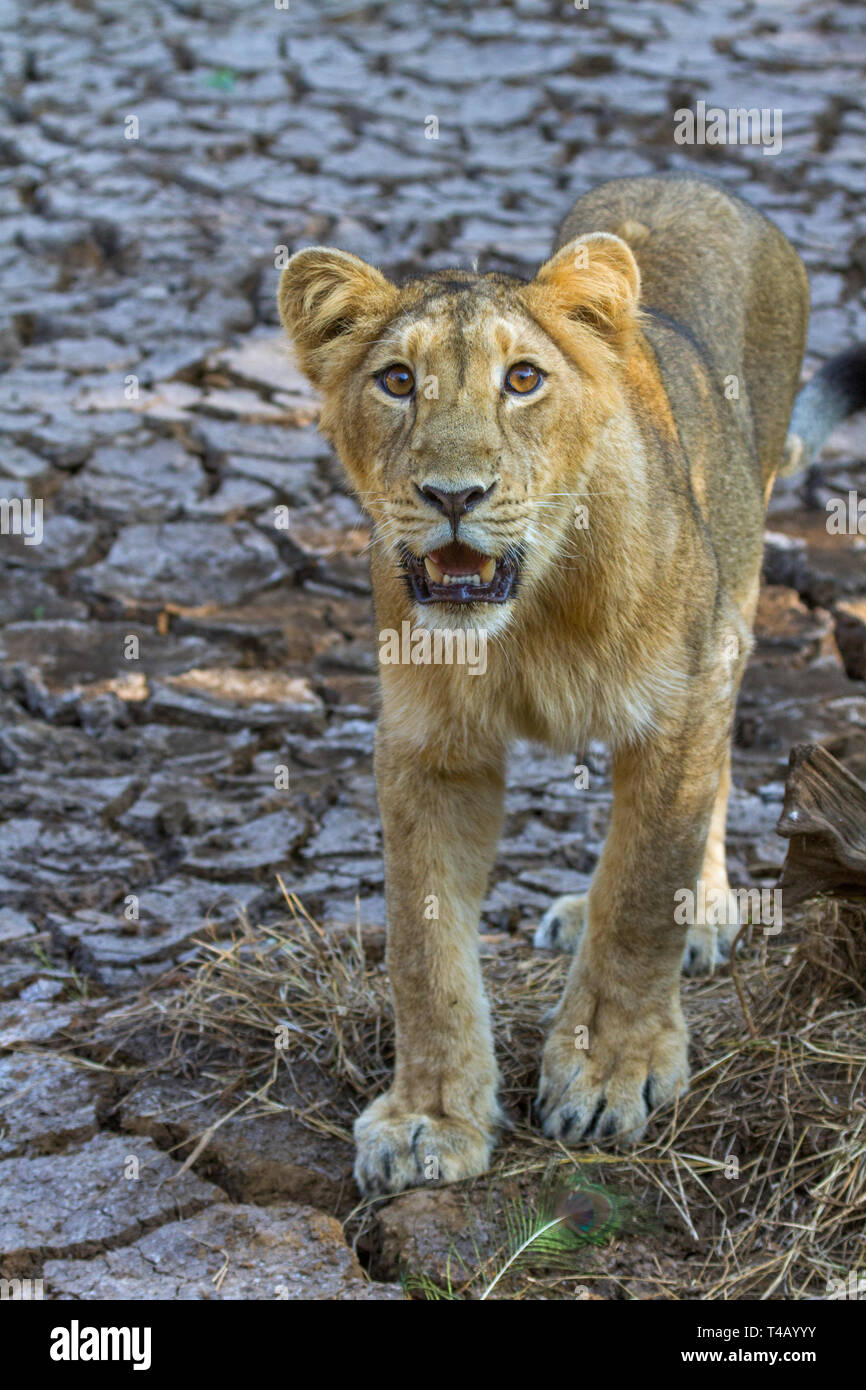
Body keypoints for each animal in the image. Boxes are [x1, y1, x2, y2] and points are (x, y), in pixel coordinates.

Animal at [279, 174, 866, 1196]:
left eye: (523, 380)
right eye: (397, 381)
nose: (453, 496)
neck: (534, 608)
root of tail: (690, 180)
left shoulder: (681, 703)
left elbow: (642, 893)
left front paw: (607, 1073)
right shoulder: (428, 743)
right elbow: (423, 945)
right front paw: (432, 1118)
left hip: (738, 583)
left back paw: (704, 913)